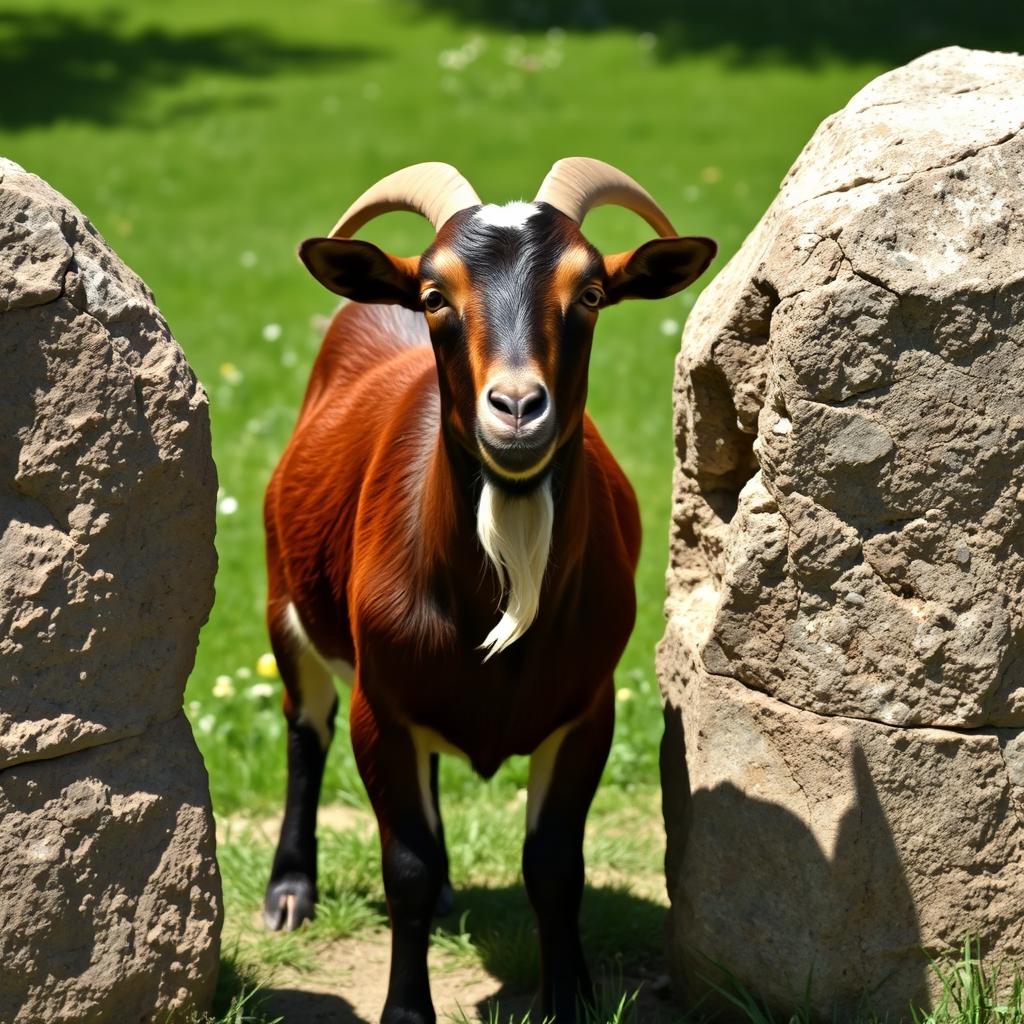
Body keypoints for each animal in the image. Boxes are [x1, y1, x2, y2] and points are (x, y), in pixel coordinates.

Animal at [262, 158, 716, 1023]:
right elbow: (404, 867)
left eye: (591, 291)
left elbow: (554, 867)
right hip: (284, 604)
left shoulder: (586, 709)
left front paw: (567, 995)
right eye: (437, 294)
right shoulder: (381, 707)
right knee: (304, 733)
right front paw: (407, 1010)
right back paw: (289, 891)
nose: (515, 408)